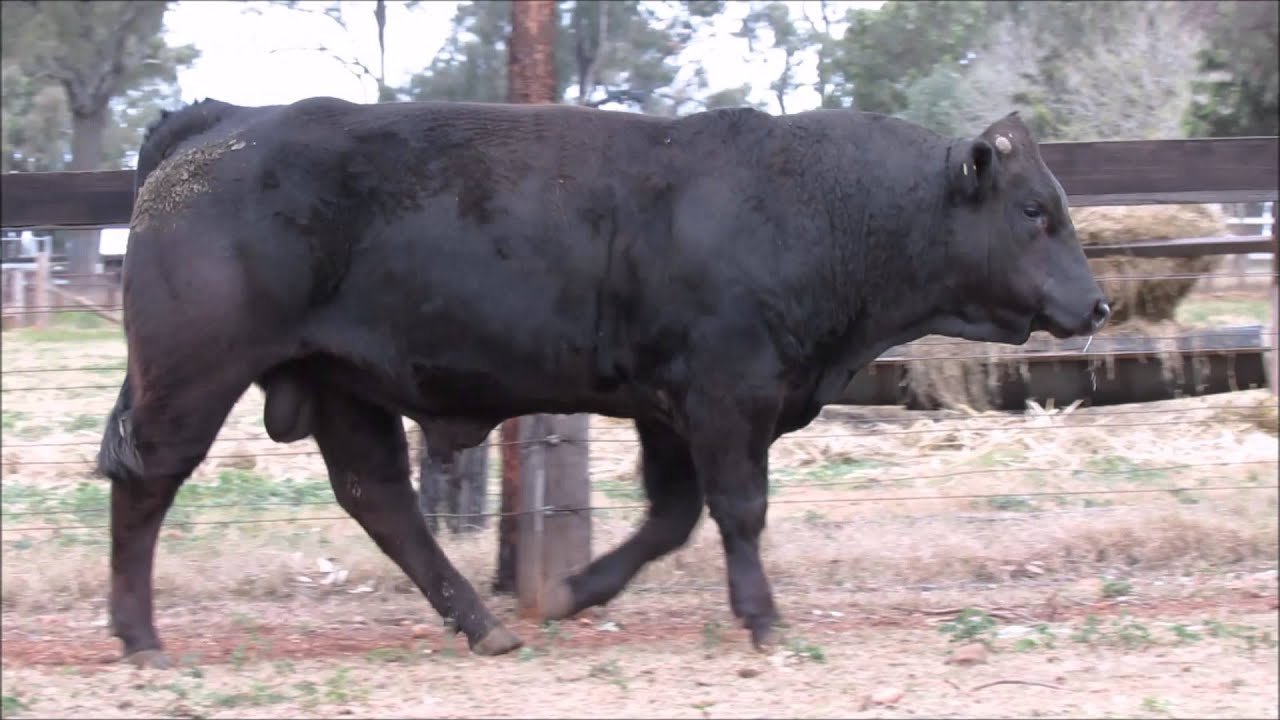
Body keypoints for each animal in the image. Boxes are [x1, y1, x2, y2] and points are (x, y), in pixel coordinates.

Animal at [97, 96, 1110, 669]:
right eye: (1034, 210)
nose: (1097, 303)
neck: (805, 200)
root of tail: (217, 125)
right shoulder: (727, 397)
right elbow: (738, 511)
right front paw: (762, 618)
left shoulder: (670, 411)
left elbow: (672, 517)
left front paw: (574, 592)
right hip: (193, 378)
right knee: (145, 486)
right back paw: (141, 638)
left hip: (343, 387)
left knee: (379, 500)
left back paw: (486, 624)